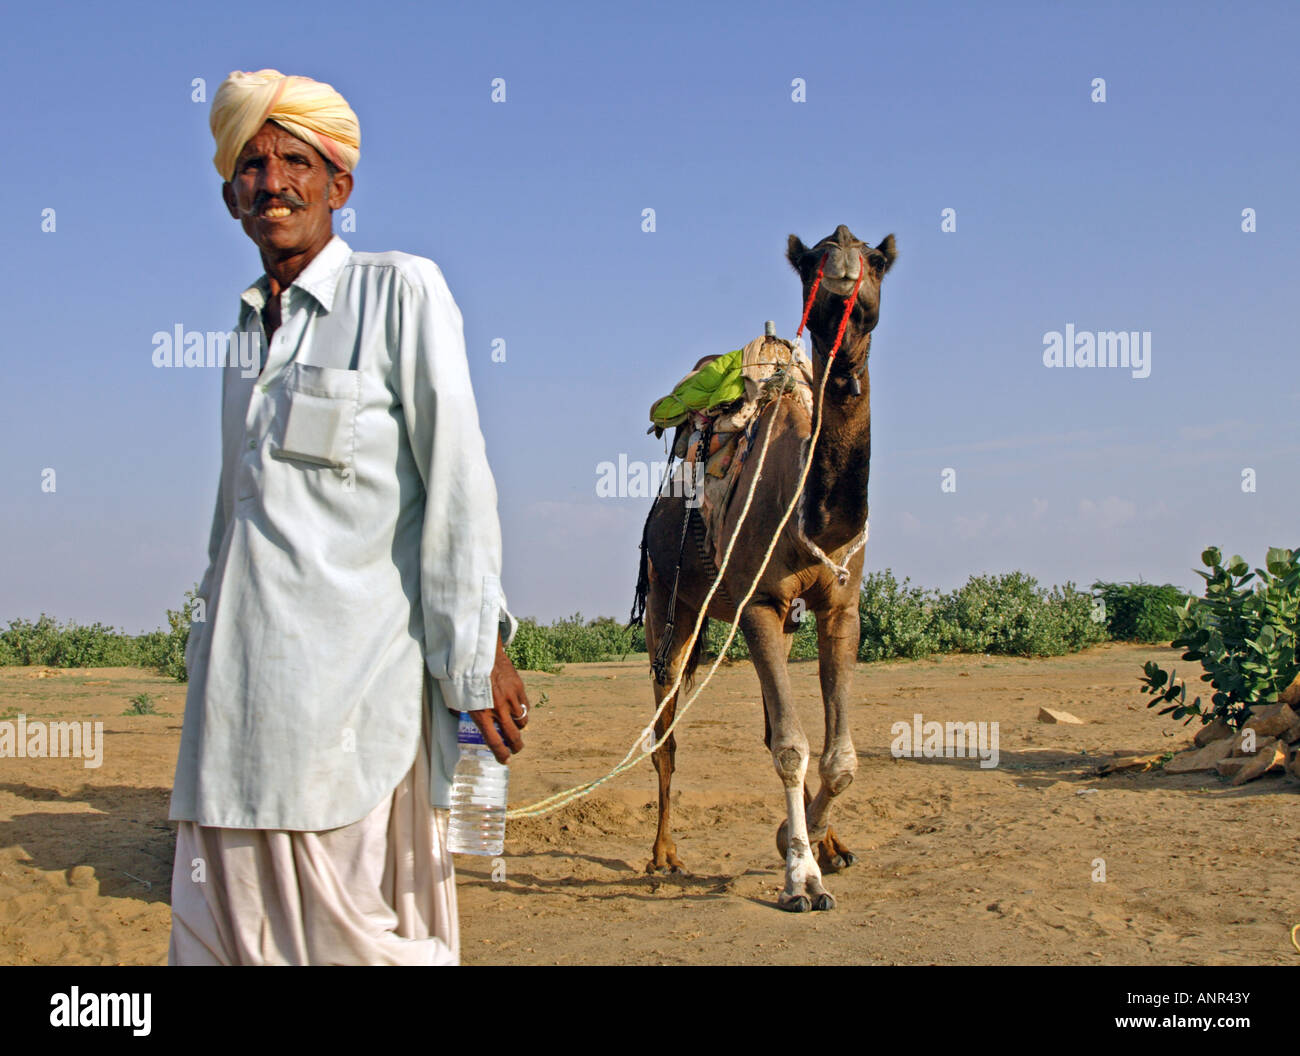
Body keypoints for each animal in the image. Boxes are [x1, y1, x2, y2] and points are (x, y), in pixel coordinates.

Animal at [633, 224, 896, 912]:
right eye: (810, 264)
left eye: (877, 260)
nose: (843, 268)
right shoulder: (757, 604)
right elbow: (790, 747)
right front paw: (800, 877)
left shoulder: (840, 606)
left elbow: (838, 756)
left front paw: (814, 845)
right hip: (670, 602)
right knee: (665, 733)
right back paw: (662, 855)